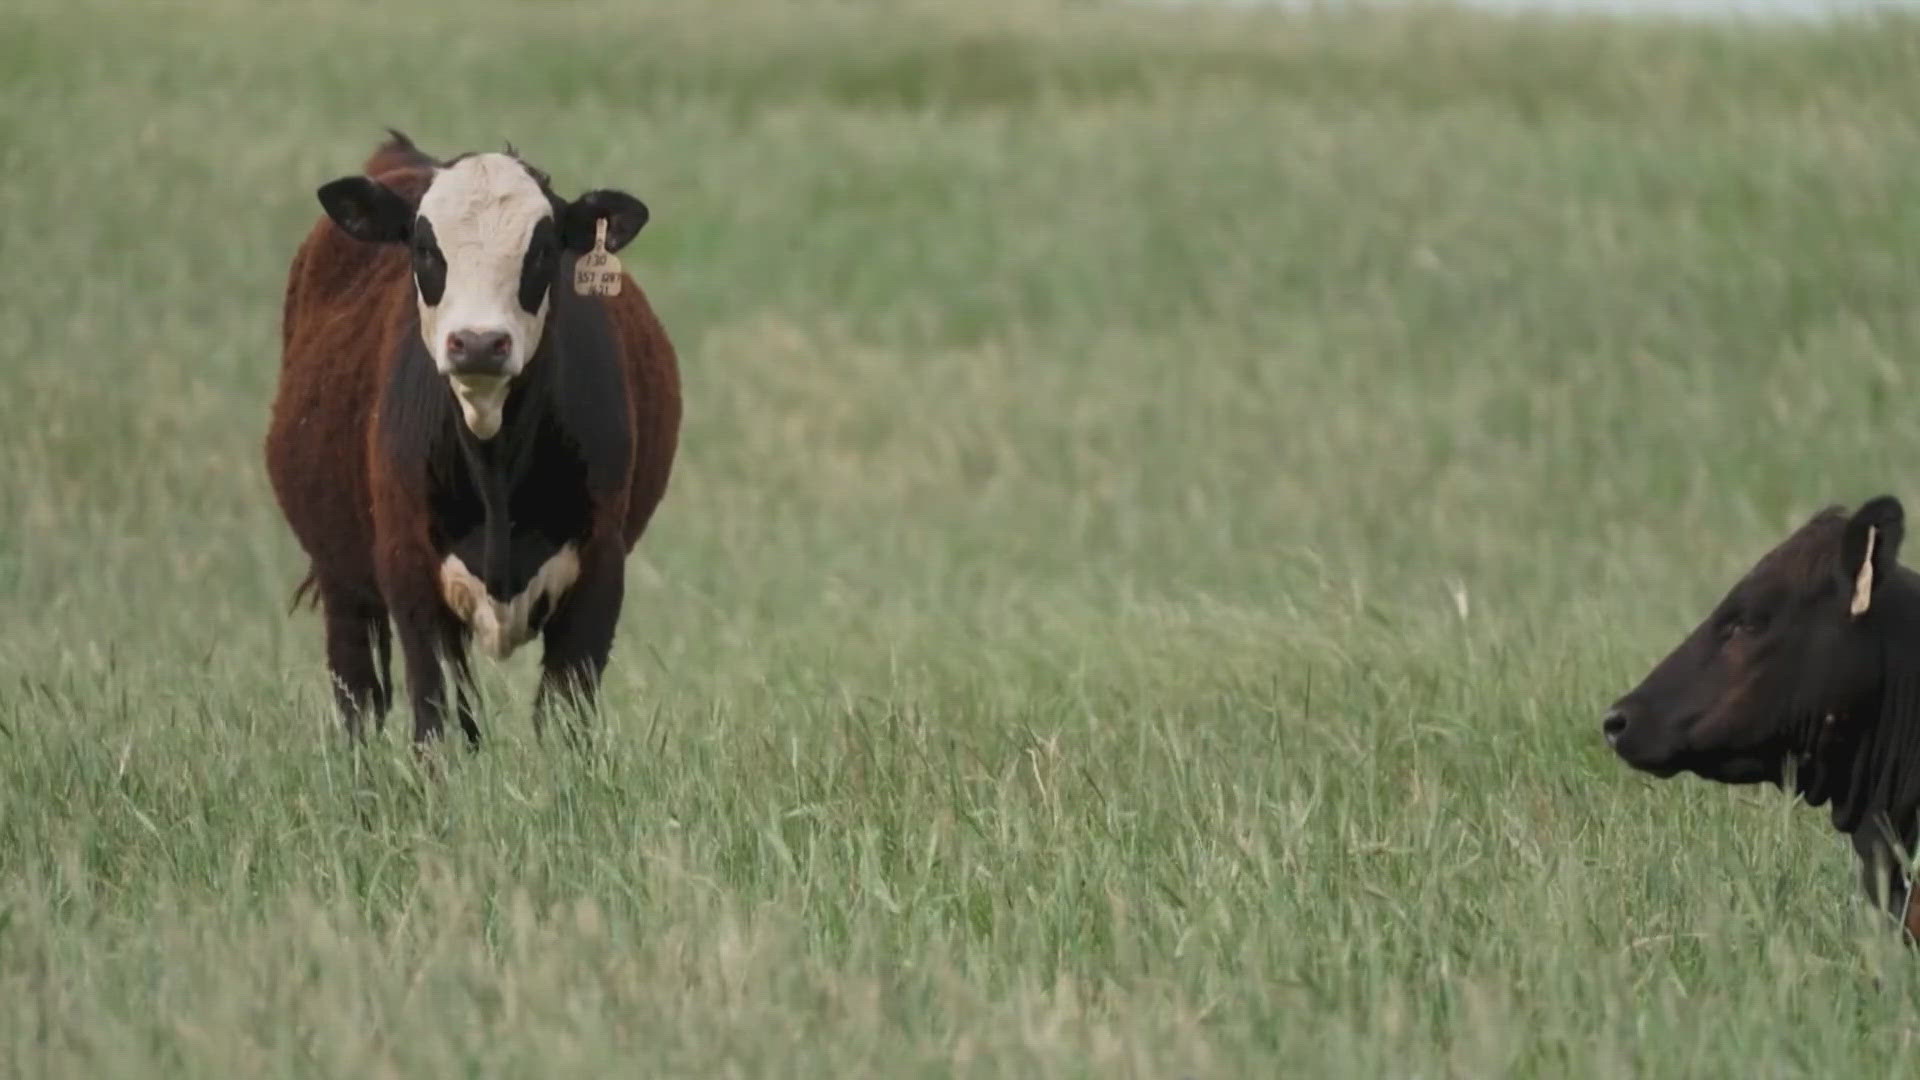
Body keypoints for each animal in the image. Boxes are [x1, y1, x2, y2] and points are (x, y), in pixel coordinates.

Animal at [266, 130, 681, 746]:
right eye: (424, 248)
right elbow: (437, 718)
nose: (480, 343)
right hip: (342, 580)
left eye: (542, 249)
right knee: (358, 696)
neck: (494, 459)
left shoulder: (601, 567)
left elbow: (564, 714)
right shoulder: (408, 569)